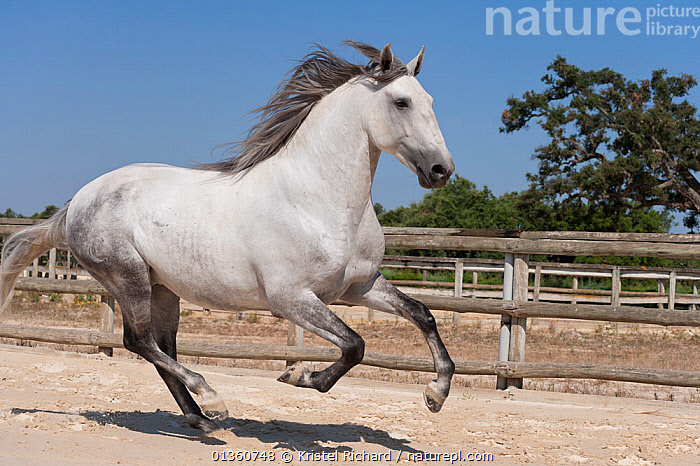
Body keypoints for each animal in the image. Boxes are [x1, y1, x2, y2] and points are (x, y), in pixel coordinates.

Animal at [0, 41, 456, 433]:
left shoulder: (359, 287)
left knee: (162, 347)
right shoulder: (291, 299)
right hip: (127, 278)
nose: (441, 170)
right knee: (140, 341)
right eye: (401, 102)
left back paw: (202, 419)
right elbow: (355, 344)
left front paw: (435, 394)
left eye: (432, 101)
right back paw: (212, 399)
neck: (318, 201)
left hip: (162, 288)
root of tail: (76, 203)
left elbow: (422, 315)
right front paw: (299, 375)